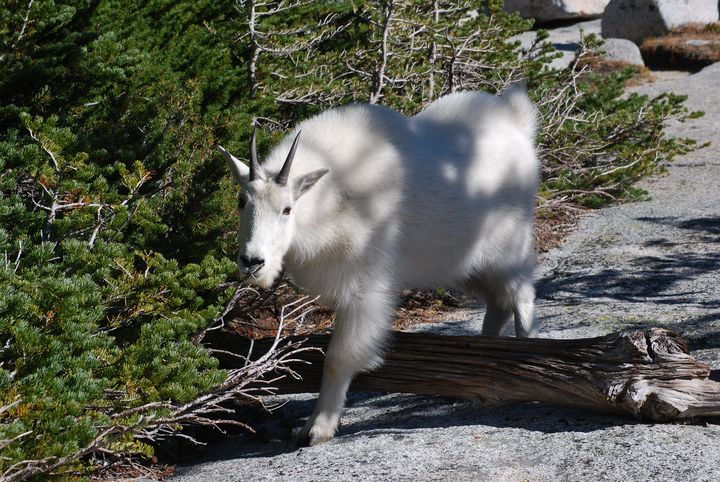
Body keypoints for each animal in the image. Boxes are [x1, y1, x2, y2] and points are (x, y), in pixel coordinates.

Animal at [218, 86, 539, 446]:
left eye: (287, 209)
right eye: (241, 201)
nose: (252, 262)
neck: (335, 196)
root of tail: (517, 121)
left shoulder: (364, 288)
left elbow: (338, 358)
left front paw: (318, 428)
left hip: (509, 247)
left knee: (522, 293)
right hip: (469, 264)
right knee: (498, 302)